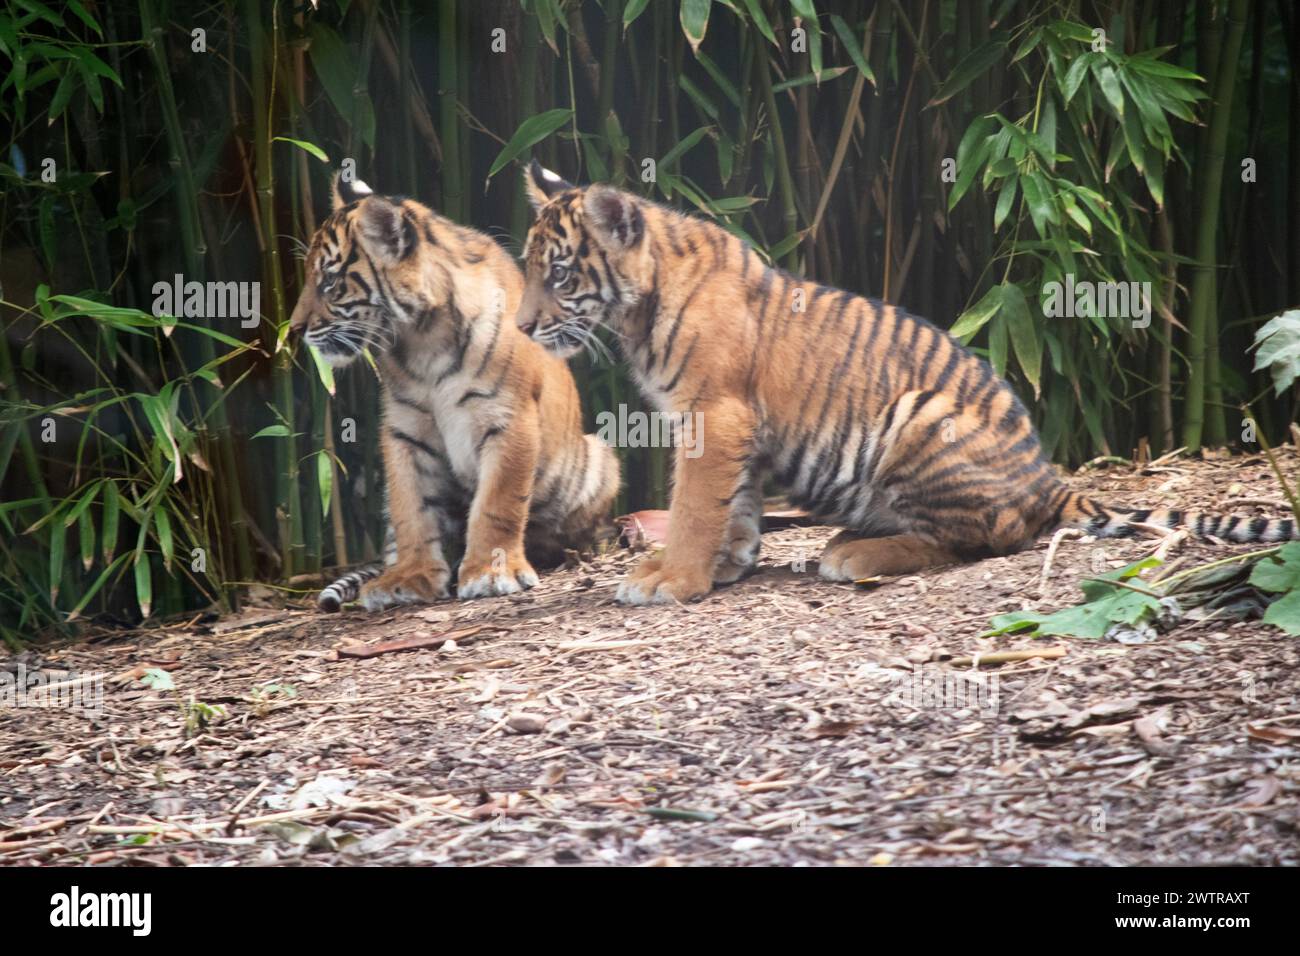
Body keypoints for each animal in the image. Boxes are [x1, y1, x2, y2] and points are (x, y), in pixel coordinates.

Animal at [291, 173, 620, 612]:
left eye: (329, 281)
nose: (294, 330)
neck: (420, 338)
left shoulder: (508, 419)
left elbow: (497, 503)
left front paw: (492, 573)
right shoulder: (405, 430)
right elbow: (411, 507)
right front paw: (409, 577)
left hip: (597, 457)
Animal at [516, 160, 1298, 606]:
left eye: (559, 273)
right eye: (527, 268)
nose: (522, 327)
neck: (634, 309)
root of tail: (1048, 481)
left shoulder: (715, 414)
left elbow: (695, 505)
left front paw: (674, 578)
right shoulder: (736, 429)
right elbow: (734, 504)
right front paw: (728, 565)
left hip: (921, 414)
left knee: (984, 537)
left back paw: (854, 552)